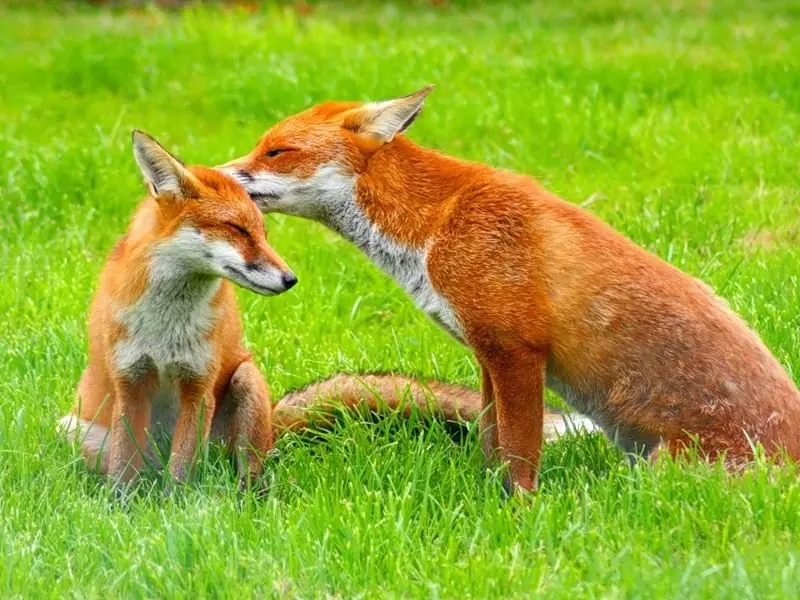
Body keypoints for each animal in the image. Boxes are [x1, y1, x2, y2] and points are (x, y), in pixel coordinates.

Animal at [222, 85, 800, 492]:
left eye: (276, 152)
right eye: (261, 148)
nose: (218, 173)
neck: (435, 226)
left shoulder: (518, 351)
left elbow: (520, 454)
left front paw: (520, 510)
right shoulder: (486, 353)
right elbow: (489, 440)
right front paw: (485, 500)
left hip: (660, 469)